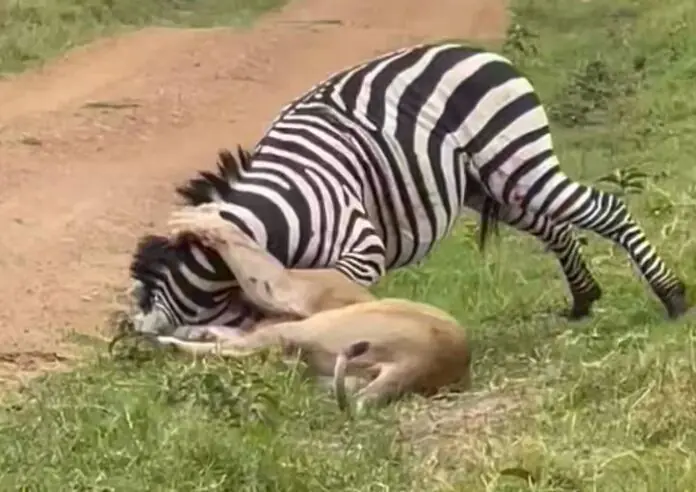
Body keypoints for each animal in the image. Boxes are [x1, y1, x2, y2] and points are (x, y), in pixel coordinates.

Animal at [129, 42, 688, 337]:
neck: (275, 218)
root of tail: (484, 52)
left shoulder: (360, 246)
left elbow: (336, 297)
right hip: (497, 183)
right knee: (556, 227)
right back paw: (584, 300)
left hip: (517, 158)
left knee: (606, 209)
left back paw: (673, 298)